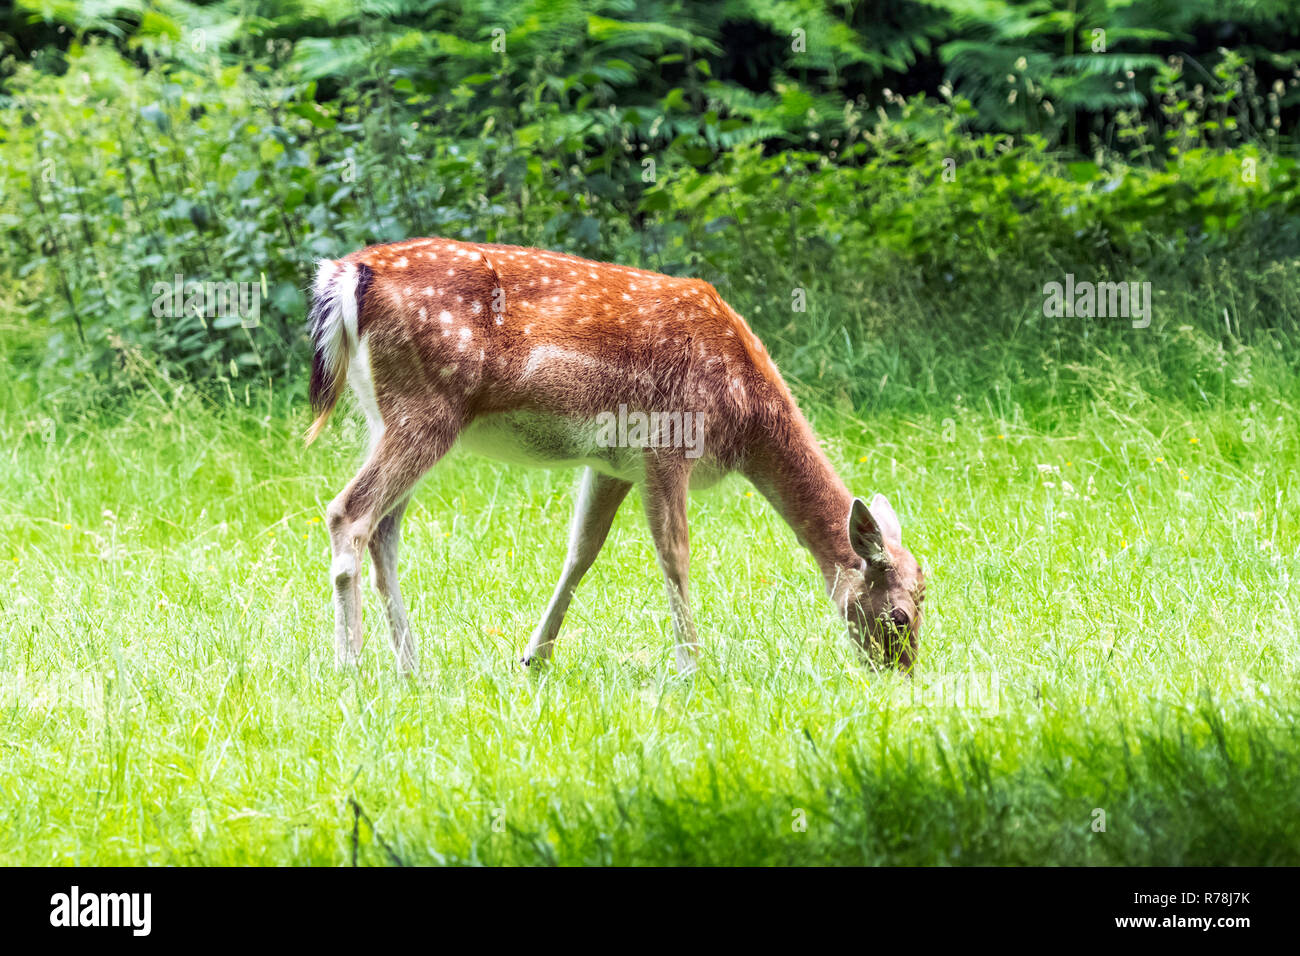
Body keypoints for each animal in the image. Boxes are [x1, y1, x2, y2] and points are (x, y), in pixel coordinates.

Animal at [306, 238, 924, 676]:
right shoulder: (667, 443)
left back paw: (412, 667)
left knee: (384, 530)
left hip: (387, 415)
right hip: (426, 408)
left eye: (927, 598)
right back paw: (350, 666)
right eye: (898, 615)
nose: (901, 673)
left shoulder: (611, 464)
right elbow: (674, 554)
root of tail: (346, 275)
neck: (746, 415)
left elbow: (581, 551)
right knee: (348, 513)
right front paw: (692, 666)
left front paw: (534, 657)